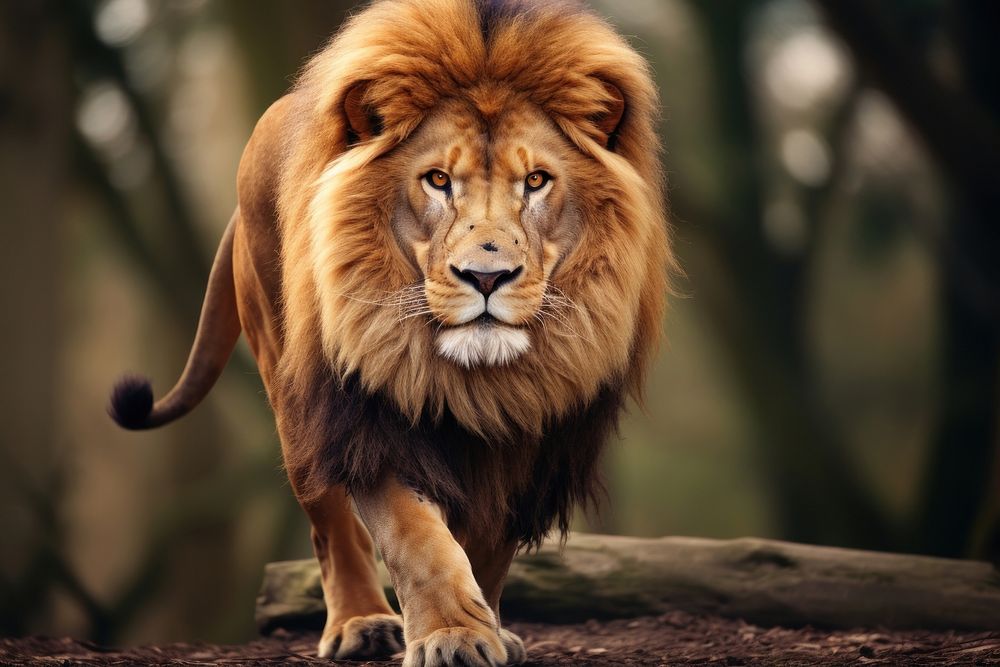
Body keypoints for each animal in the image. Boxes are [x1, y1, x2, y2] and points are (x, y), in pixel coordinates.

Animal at [109, 0, 672, 664]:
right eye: (437, 180)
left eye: (536, 181)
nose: (487, 277)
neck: (477, 378)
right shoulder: (367, 413)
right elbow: (415, 537)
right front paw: (453, 636)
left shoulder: (533, 428)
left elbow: (488, 544)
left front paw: (488, 626)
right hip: (290, 383)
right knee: (330, 523)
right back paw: (362, 624)